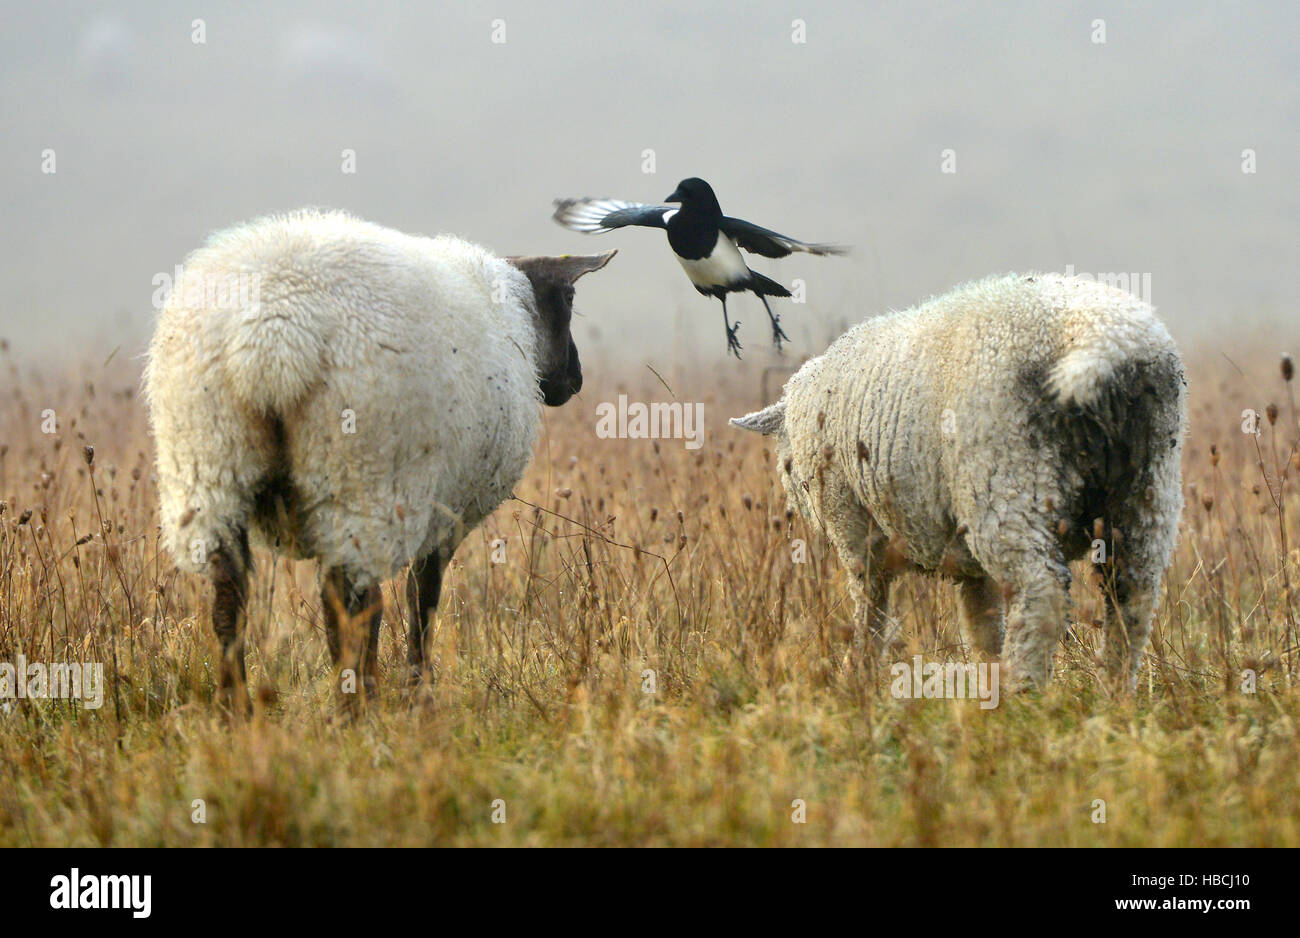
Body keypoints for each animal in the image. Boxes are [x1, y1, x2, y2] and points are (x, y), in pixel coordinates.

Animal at [143, 208, 615, 712]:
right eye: (569, 297)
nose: (576, 378)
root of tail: (273, 333)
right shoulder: (445, 513)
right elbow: (422, 597)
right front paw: (418, 688)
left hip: (210, 463)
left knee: (230, 595)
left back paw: (238, 709)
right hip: (361, 474)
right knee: (347, 601)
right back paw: (354, 704)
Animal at [731, 273, 1186, 692]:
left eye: (788, 466)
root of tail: (1101, 338)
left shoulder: (853, 525)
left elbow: (870, 605)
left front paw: (858, 671)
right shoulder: (966, 561)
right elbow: (981, 624)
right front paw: (984, 676)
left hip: (1006, 482)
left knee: (1042, 596)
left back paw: (1023, 693)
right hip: (1147, 490)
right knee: (1133, 597)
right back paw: (1115, 690)